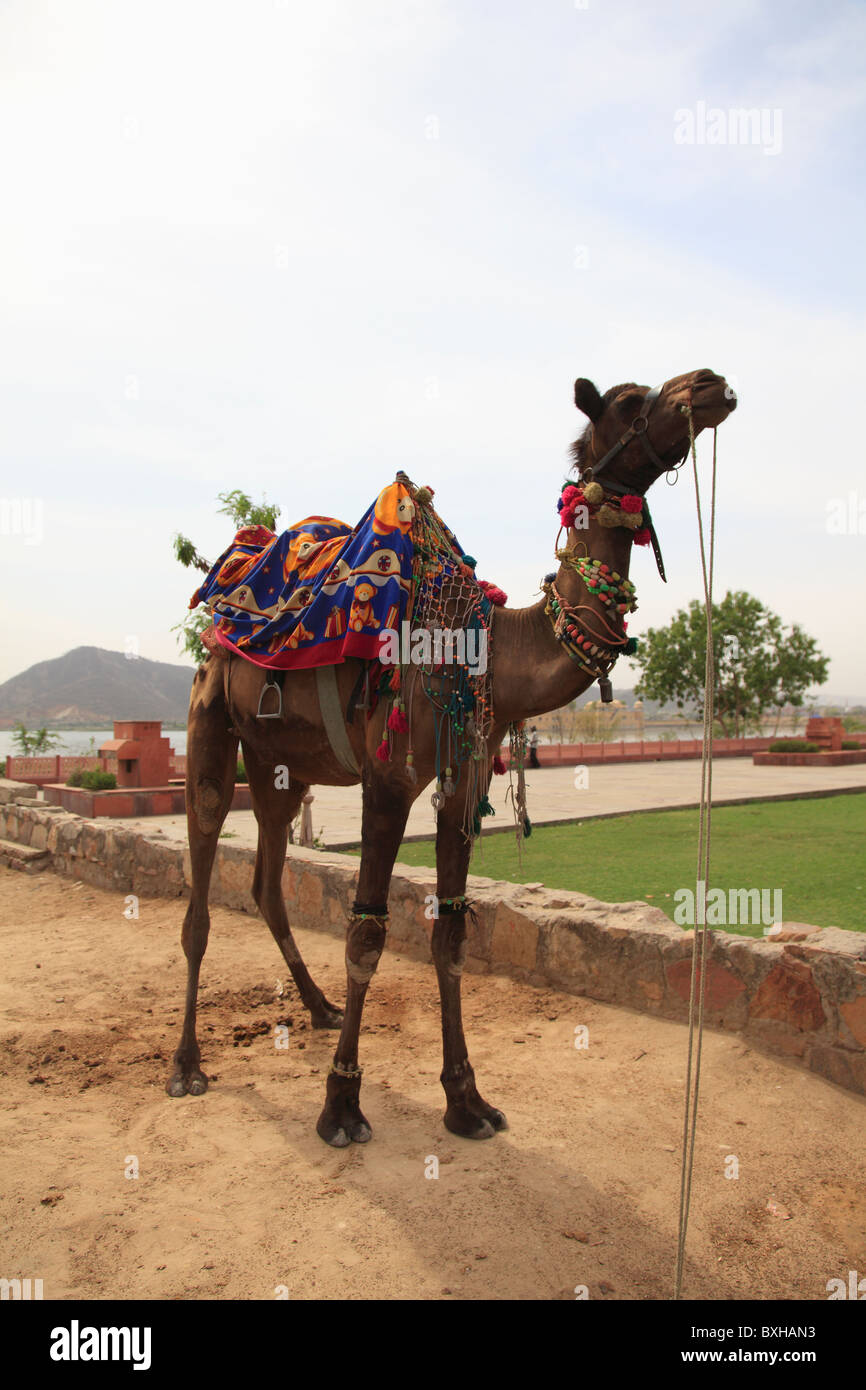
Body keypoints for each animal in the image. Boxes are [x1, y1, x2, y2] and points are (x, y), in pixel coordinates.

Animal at [167, 367, 736, 1146]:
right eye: (627, 401)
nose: (711, 384)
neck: (488, 649)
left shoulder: (463, 776)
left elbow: (455, 931)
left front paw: (467, 1101)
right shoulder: (387, 776)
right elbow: (367, 933)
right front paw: (340, 1107)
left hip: (281, 765)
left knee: (267, 881)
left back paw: (319, 1009)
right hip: (210, 723)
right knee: (200, 889)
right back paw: (187, 1066)